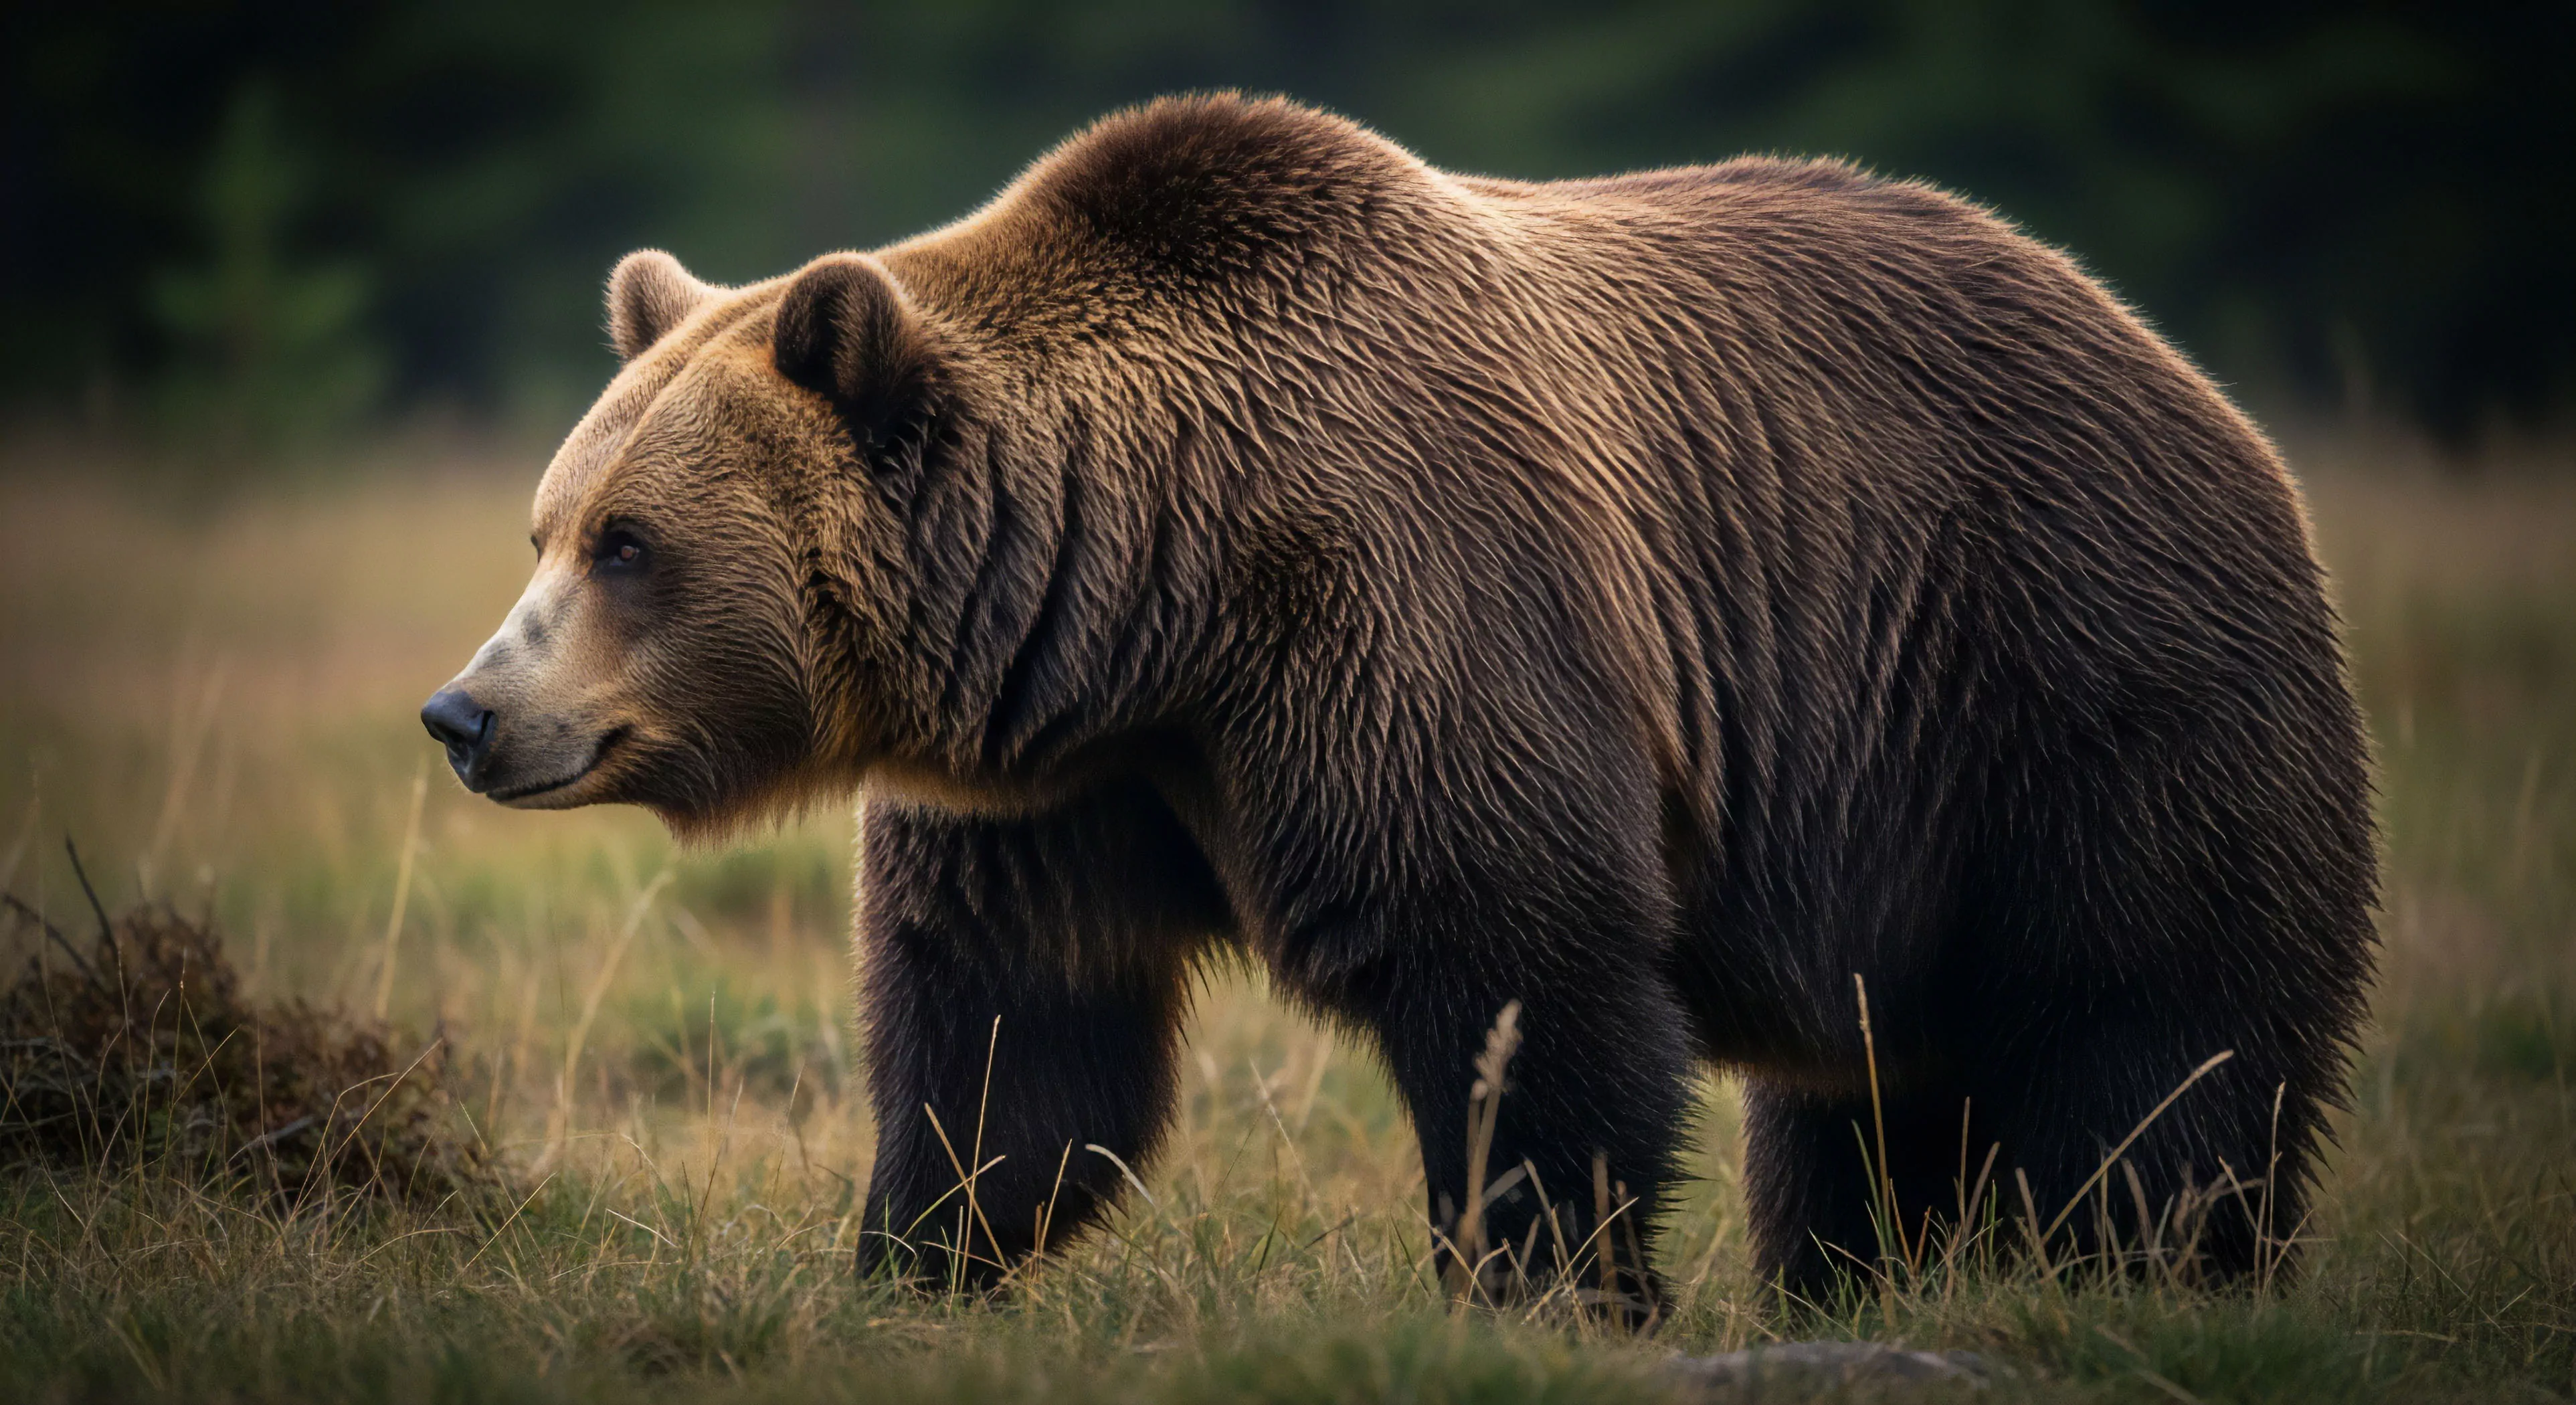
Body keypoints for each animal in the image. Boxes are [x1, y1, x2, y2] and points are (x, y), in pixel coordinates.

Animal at [422, 94, 2375, 1308]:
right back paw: (1850, 1277)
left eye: (630, 544)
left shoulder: (1415, 622)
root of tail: (2187, 372)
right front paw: (910, 1259)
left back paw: (2156, 1277)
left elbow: (1527, 984)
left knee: (2153, 1052)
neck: (1156, 605)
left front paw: (1550, 1289)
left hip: (2071, 688)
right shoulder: (1066, 788)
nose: (464, 712)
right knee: (1864, 1110)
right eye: (549, 524)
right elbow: (1014, 1047)